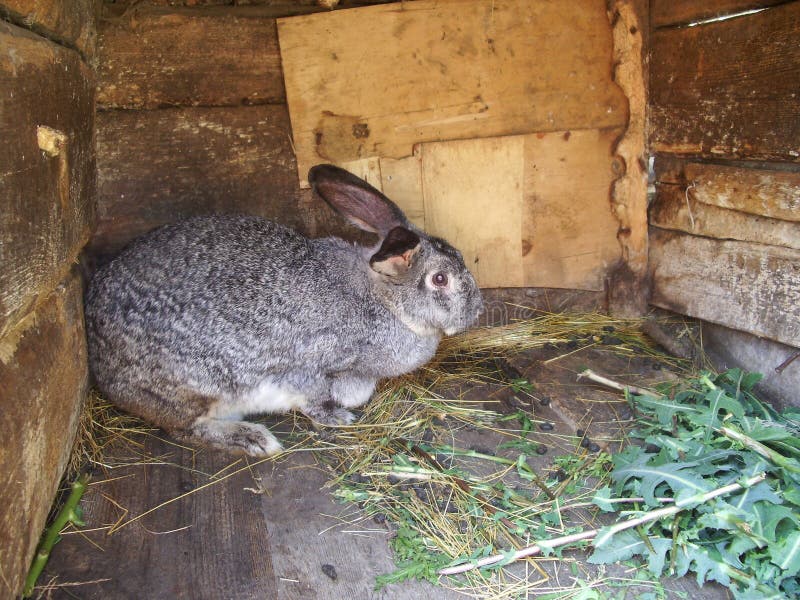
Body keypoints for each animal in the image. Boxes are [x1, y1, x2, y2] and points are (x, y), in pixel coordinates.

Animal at [85, 164, 483, 457]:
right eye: (440, 279)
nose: (476, 310)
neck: (382, 299)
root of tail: (99, 361)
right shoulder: (309, 365)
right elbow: (314, 396)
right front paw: (337, 416)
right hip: (197, 389)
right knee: (185, 429)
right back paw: (253, 439)